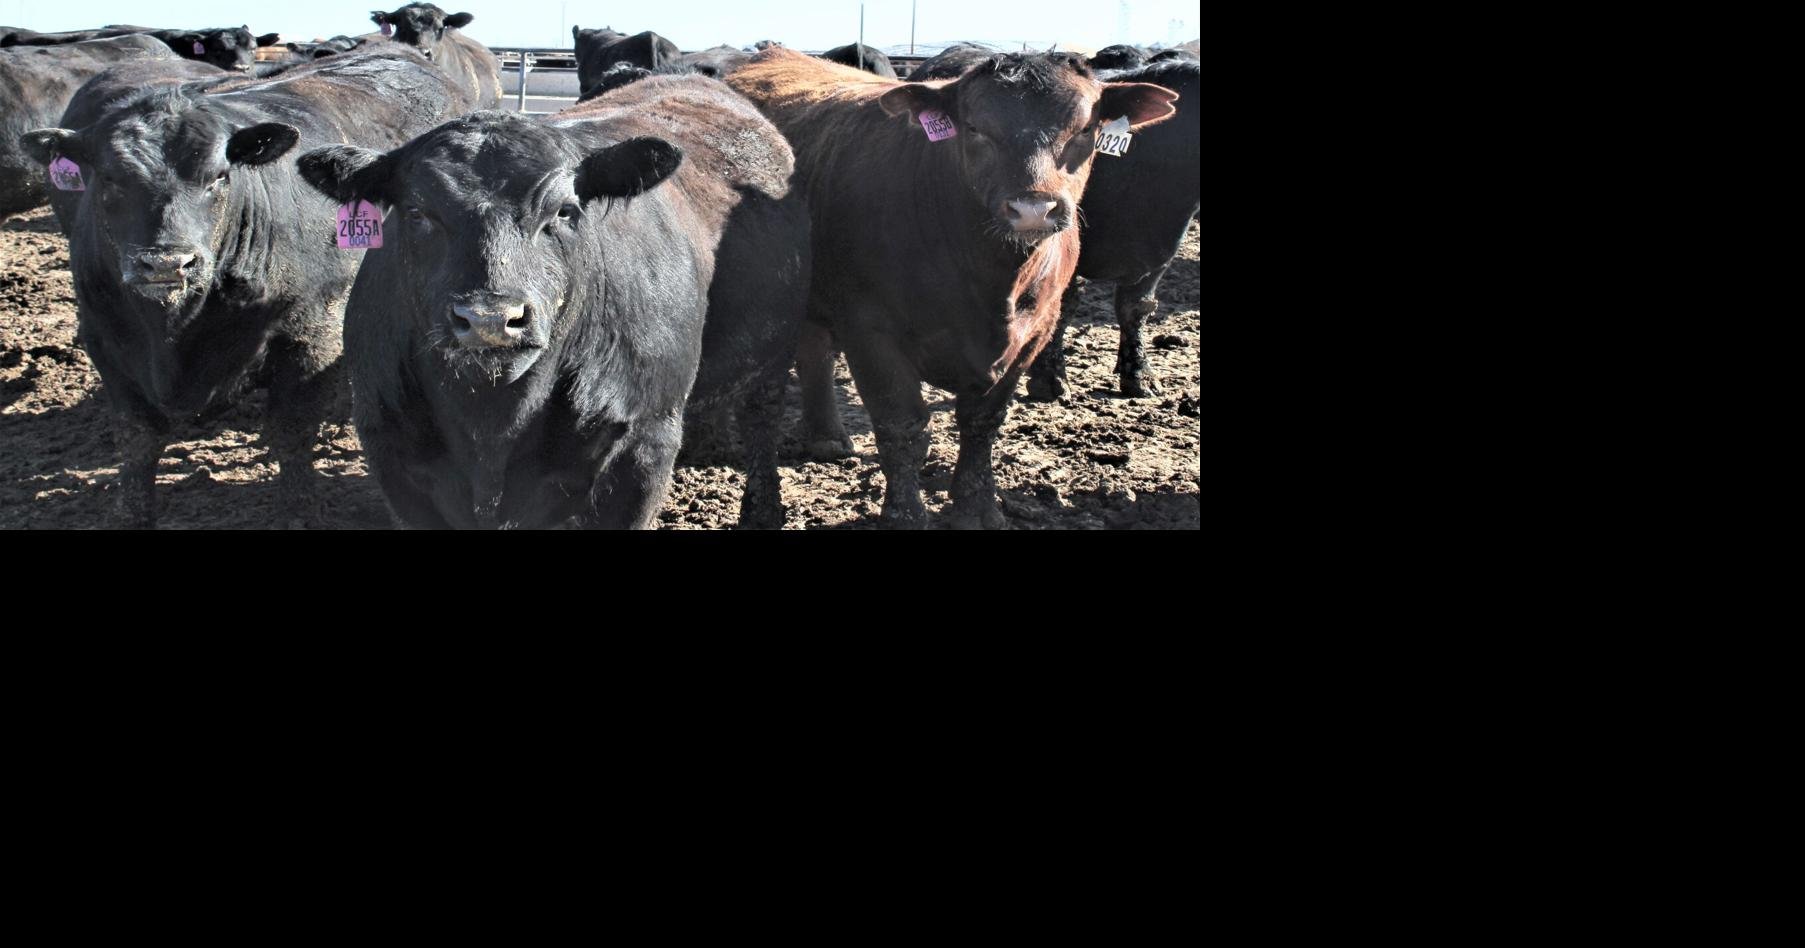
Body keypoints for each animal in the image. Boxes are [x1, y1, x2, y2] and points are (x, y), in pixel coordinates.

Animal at [18, 46, 473, 528]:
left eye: (219, 177)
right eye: (108, 178)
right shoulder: (104, 338)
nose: (166, 261)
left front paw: (299, 511)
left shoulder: (313, 333)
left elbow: (292, 430)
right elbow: (136, 437)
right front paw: (131, 514)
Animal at [294, 75, 811, 530]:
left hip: (775, 352)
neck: (493, 421)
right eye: (418, 212)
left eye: (563, 211)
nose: (489, 318)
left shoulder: (644, 445)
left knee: (761, 422)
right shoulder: (391, 448)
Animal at [728, 49, 1177, 529]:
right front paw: (904, 514)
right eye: (976, 128)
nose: (1032, 208)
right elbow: (902, 426)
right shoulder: (871, 333)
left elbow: (983, 422)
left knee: (814, 353)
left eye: (1085, 130)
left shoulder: (1035, 332)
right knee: (763, 400)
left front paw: (976, 507)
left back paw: (826, 438)